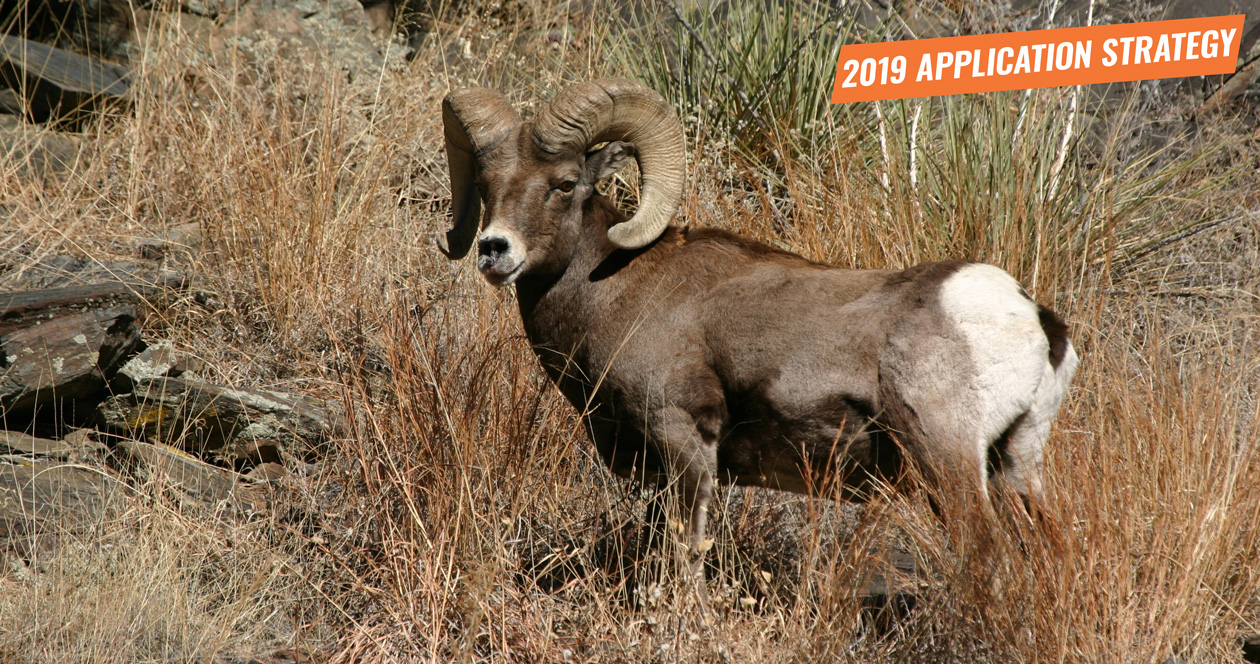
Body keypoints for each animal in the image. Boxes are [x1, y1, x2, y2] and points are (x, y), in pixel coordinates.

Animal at [437, 78, 1079, 564]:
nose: (494, 250)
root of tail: (1032, 320)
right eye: (489, 187)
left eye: (565, 184)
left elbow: (686, 555)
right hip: (1017, 465)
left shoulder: (685, 442)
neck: (613, 288)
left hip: (948, 465)